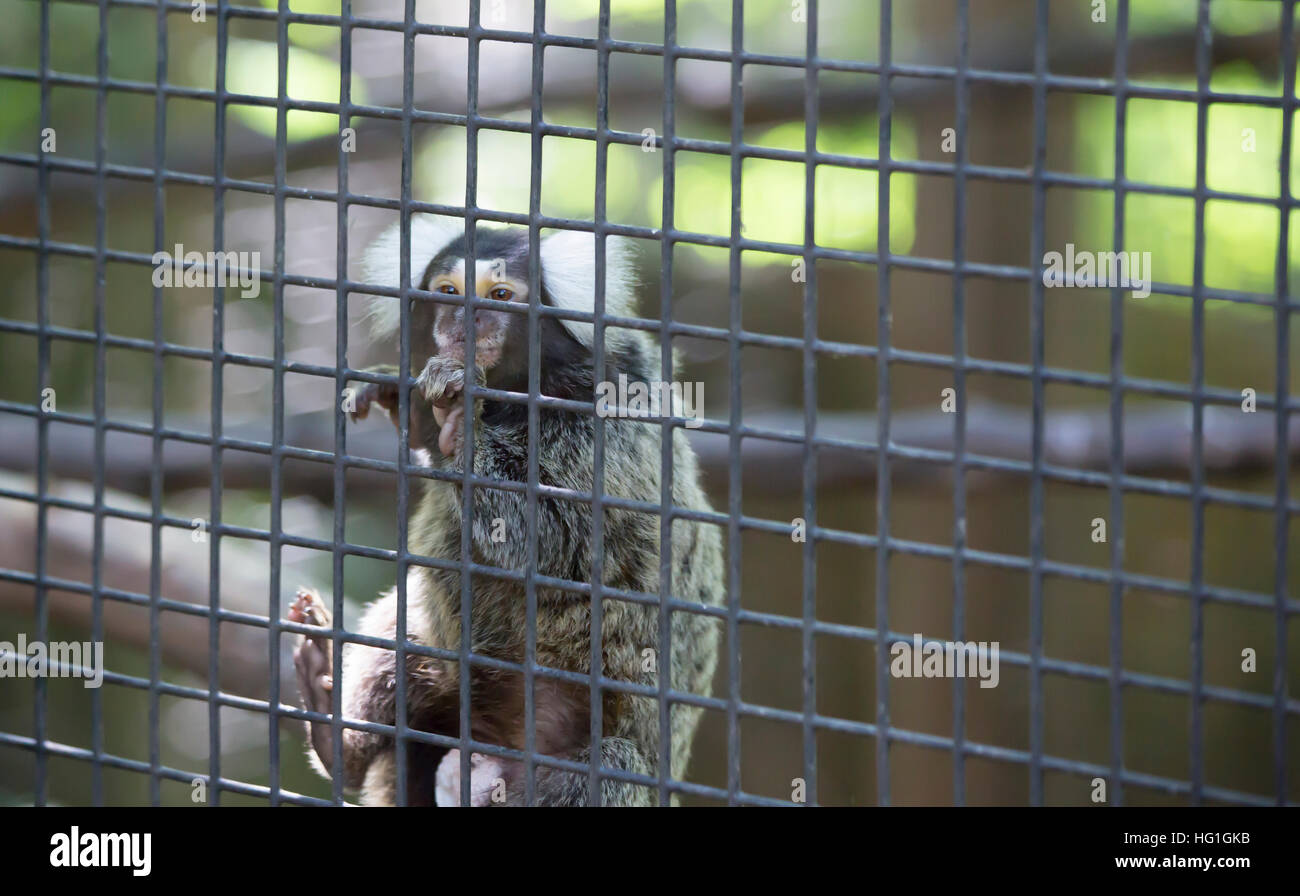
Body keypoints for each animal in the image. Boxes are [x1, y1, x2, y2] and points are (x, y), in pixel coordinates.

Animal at [287, 216, 724, 806]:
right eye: (449, 291)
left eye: (499, 295)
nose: (465, 322)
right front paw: (414, 411)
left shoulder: (610, 411)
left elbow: (554, 539)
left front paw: (462, 425)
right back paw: (337, 737)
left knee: (610, 770)